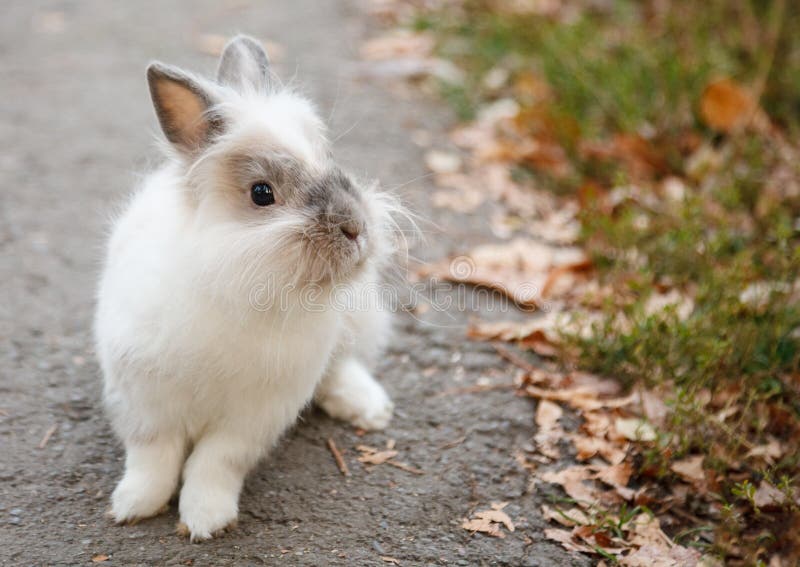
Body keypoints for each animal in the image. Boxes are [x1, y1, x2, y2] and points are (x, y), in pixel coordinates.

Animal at [94, 35, 405, 541]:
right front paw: (133, 505)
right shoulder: (145, 399)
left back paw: (369, 409)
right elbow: (153, 456)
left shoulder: (253, 417)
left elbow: (214, 463)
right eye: (262, 193)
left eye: (330, 160)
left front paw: (206, 519)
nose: (356, 228)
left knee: (342, 365)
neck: (237, 280)